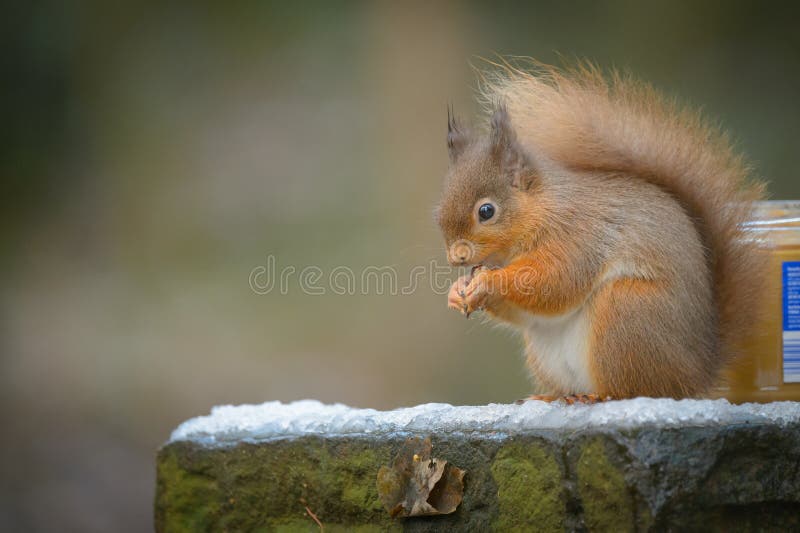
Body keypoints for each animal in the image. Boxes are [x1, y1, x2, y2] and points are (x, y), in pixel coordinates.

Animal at [435, 61, 767, 401]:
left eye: (486, 211)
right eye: (438, 212)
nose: (456, 257)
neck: (540, 209)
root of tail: (695, 376)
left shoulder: (577, 234)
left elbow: (553, 280)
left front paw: (488, 282)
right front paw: (457, 291)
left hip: (625, 315)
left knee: (633, 389)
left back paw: (596, 396)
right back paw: (551, 395)